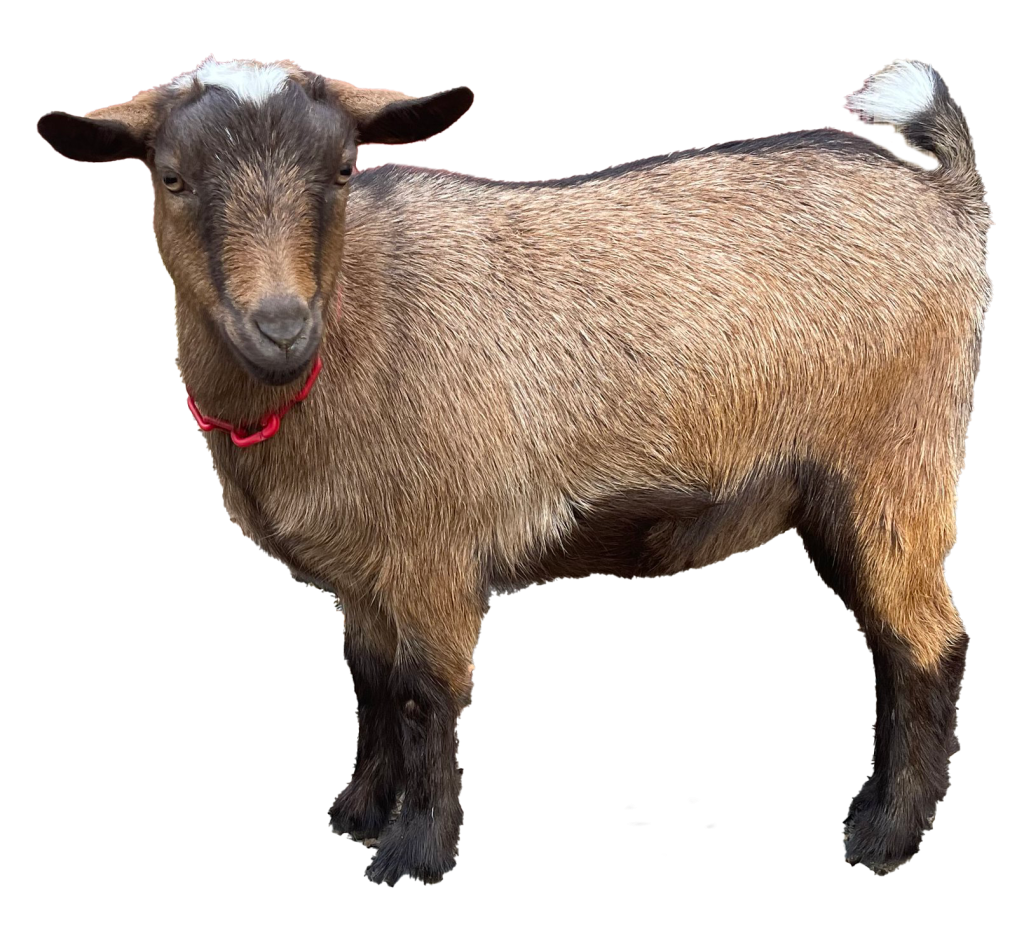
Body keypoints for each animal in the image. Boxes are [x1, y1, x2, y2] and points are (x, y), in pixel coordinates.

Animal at [36, 56, 993, 885]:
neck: (354, 321)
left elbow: (426, 693)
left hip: (894, 462)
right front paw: (359, 811)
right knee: (893, 640)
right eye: (172, 177)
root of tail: (947, 196)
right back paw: (877, 810)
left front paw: (414, 853)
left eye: (343, 169)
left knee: (928, 640)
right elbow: (368, 677)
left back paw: (886, 834)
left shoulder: (434, 553)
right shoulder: (363, 568)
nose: (281, 326)